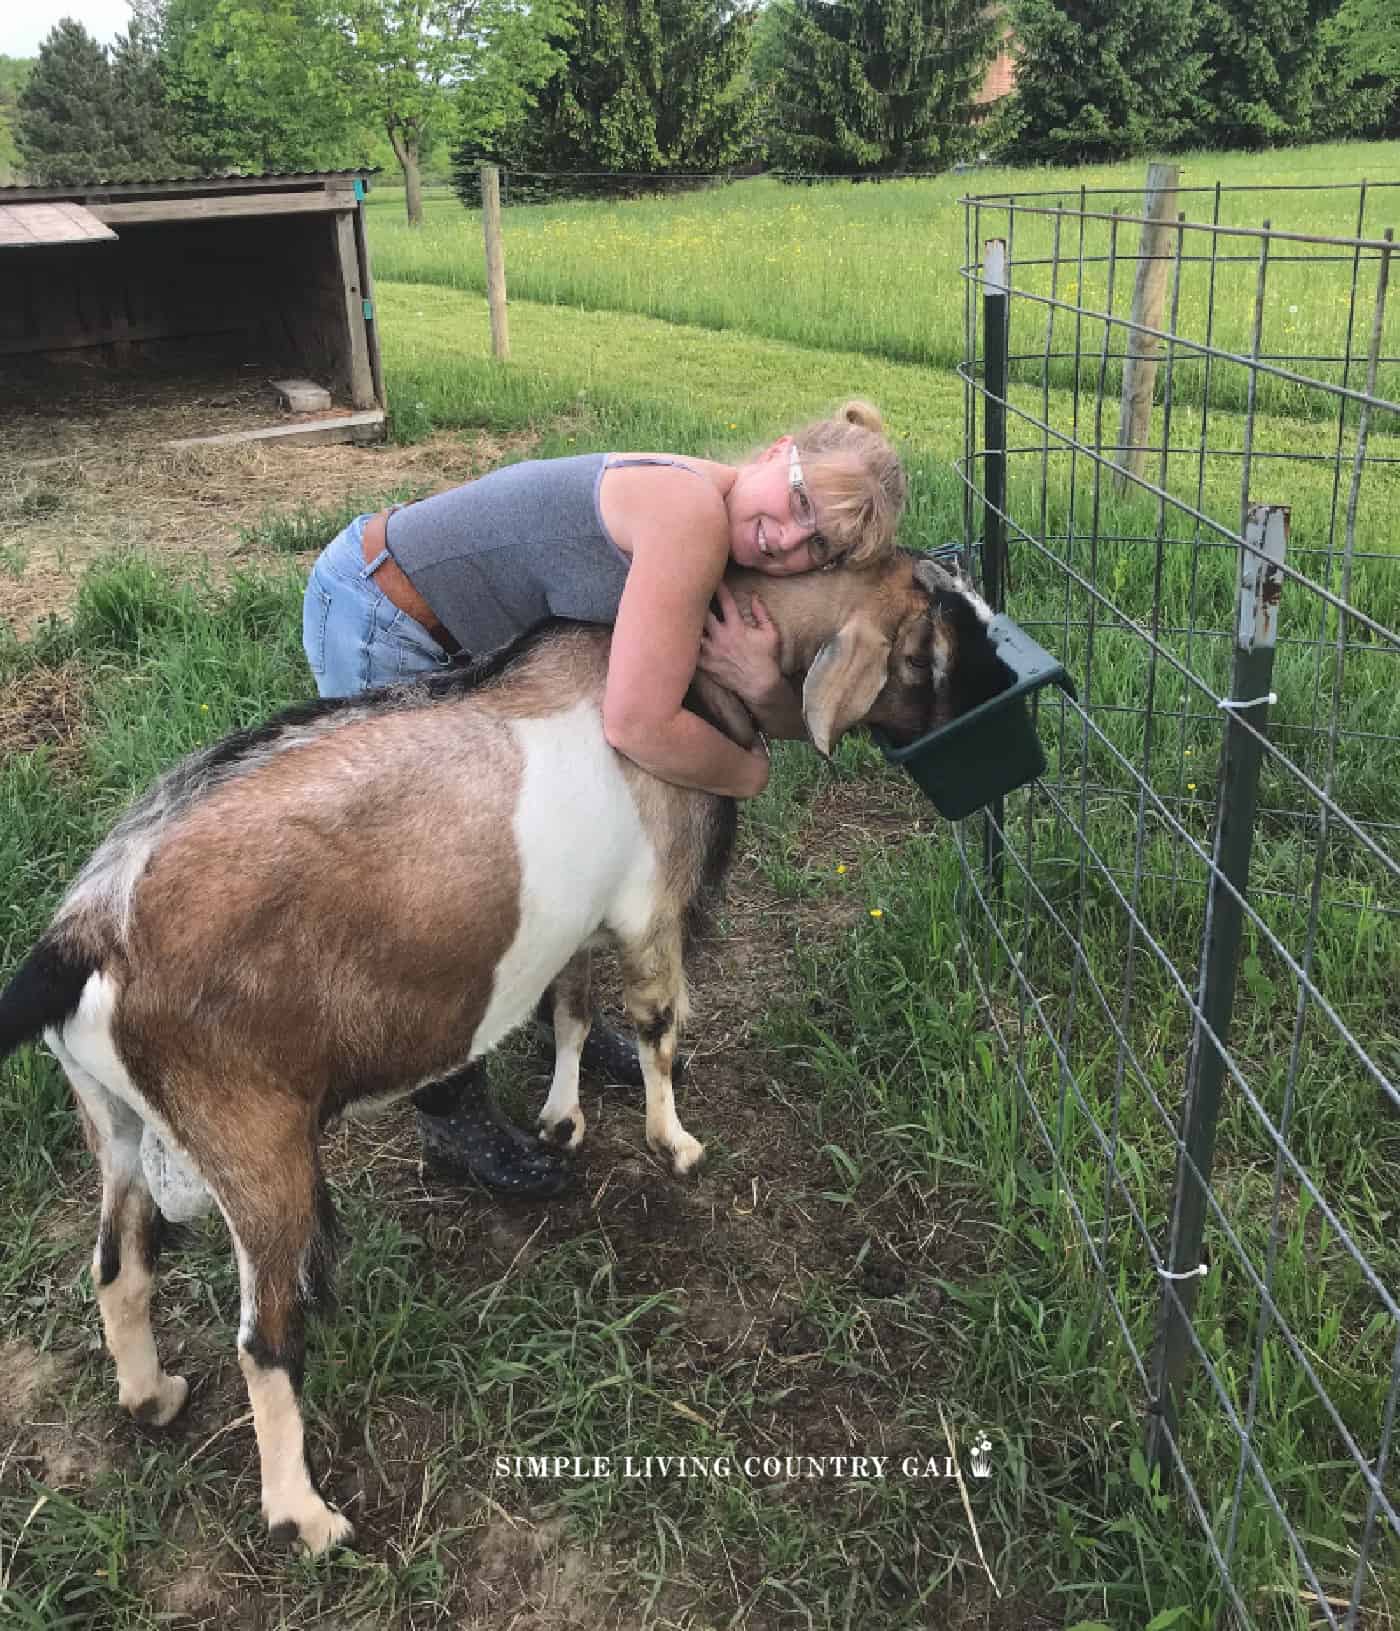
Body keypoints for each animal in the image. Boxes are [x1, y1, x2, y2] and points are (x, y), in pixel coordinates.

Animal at [0, 553, 1009, 1554]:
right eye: (944, 642)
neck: (689, 674)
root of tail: (82, 937)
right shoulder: (652, 913)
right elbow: (657, 1026)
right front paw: (675, 1142)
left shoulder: (573, 921)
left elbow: (569, 1011)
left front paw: (562, 1121)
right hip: (253, 1143)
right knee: (264, 1339)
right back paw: (308, 1515)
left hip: (116, 1123)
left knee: (119, 1266)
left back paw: (152, 1395)